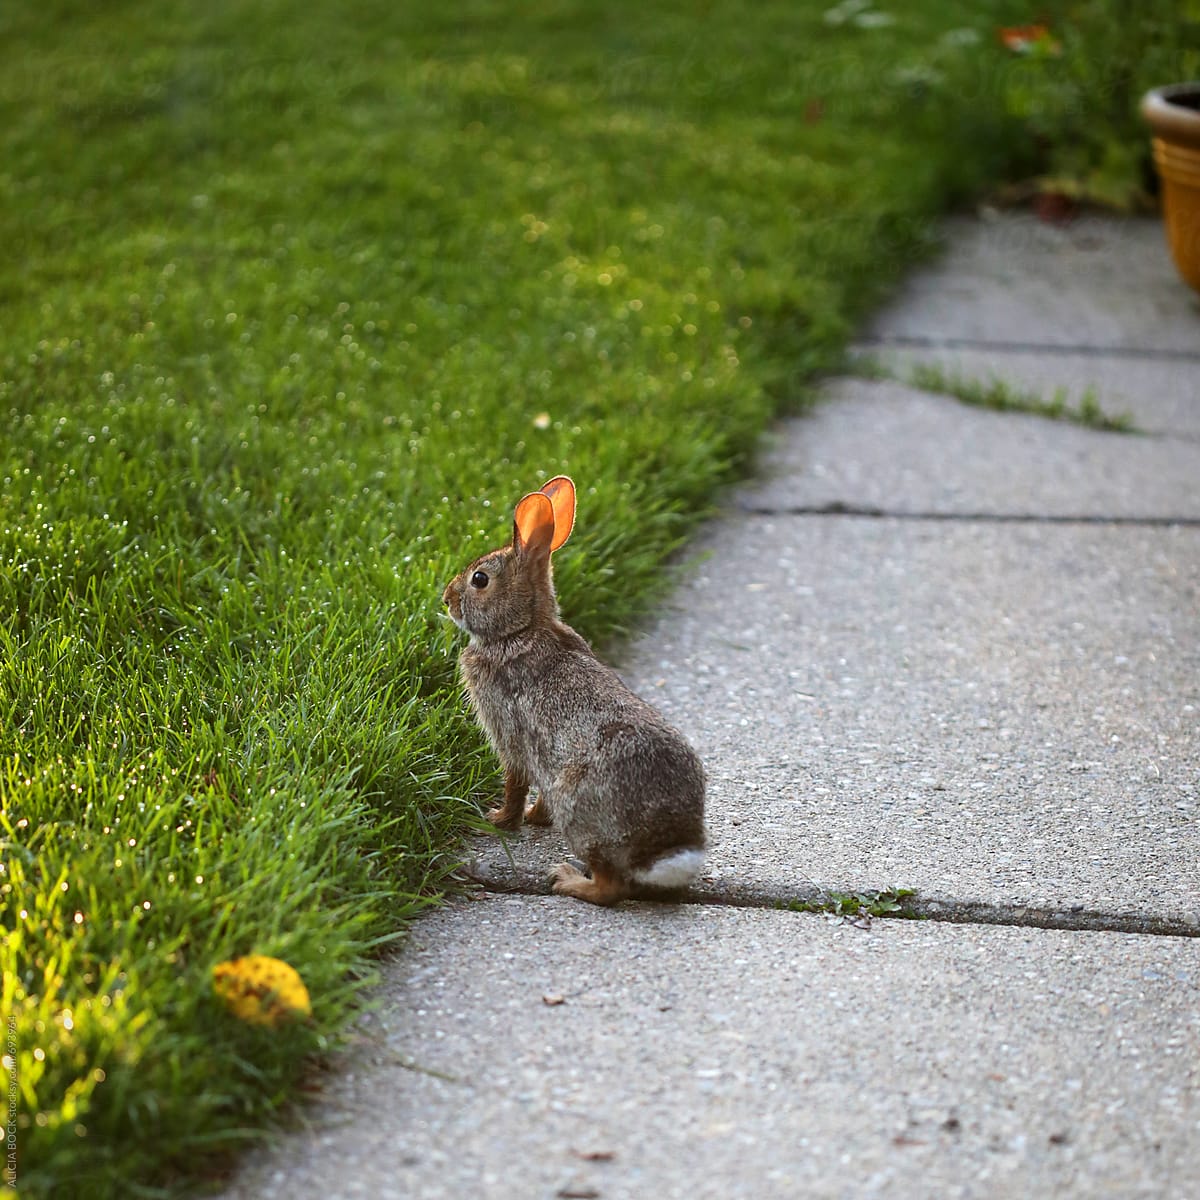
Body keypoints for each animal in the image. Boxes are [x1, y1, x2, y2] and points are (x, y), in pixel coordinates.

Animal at [442, 475, 706, 905]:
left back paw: (566, 879)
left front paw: (500, 820)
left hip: (578, 811)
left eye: (479, 579)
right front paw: (534, 817)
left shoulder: (510, 736)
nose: (447, 599)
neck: (520, 630)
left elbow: (515, 782)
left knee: (610, 887)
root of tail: (666, 851)